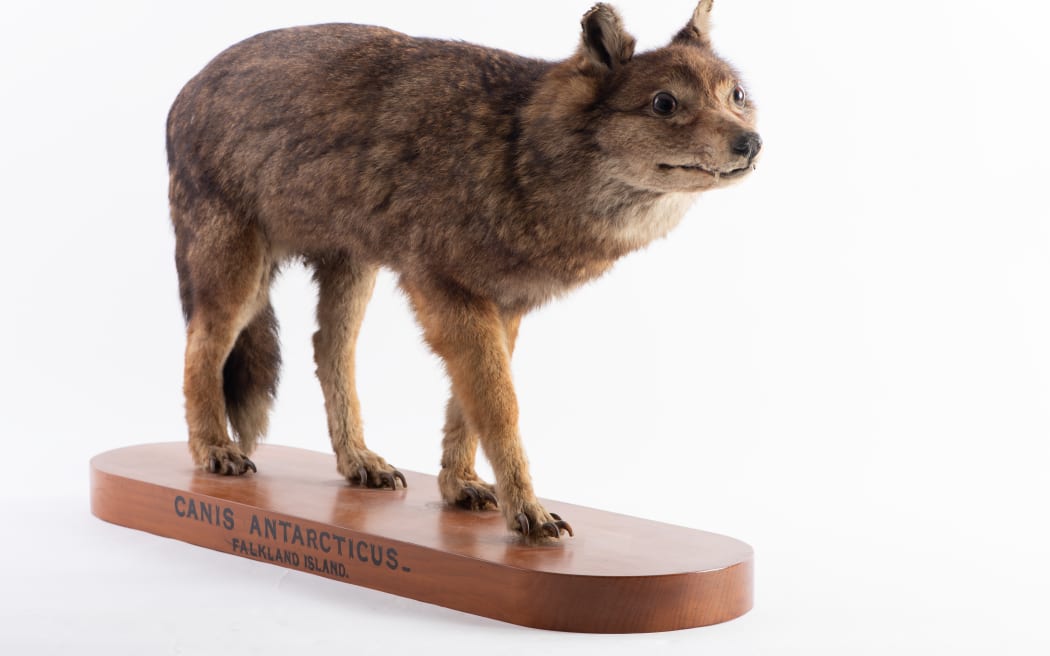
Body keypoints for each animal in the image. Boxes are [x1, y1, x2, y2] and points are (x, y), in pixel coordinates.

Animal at [166, 0, 760, 540]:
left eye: (736, 96)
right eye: (665, 103)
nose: (750, 142)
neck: (517, 149)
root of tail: (186, 90)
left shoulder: (503, 307)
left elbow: (468, 406)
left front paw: (462, 485)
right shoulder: (448, 294)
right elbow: (499, 407)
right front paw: (528, 512)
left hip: (352, 270)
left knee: (327, 350)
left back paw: (358, 460)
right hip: (239, 279)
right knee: (200, 345)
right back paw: (214, 449)